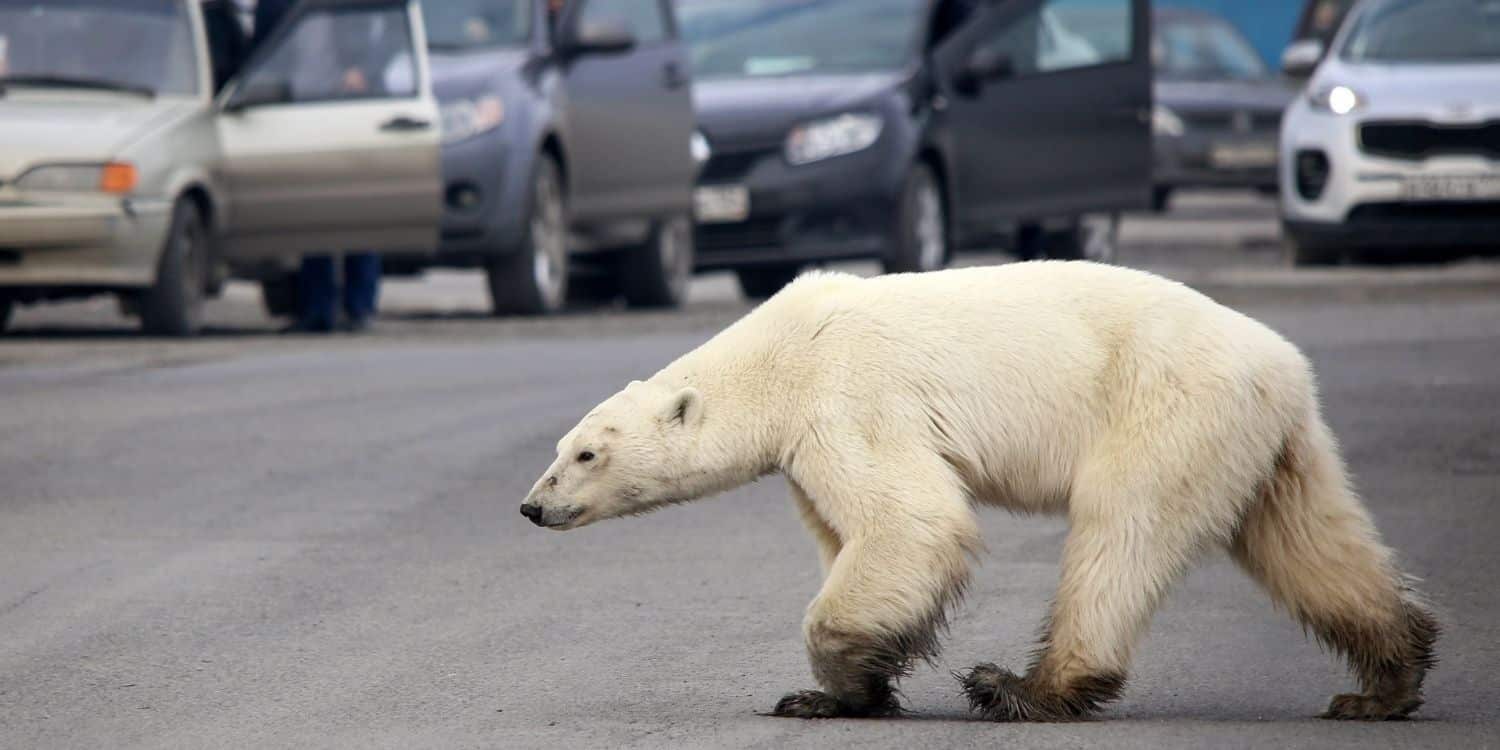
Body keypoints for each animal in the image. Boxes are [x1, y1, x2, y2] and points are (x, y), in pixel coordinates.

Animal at [520, 261, 1438, 722]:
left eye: (587, 454)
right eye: (560, 448)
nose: (531, 506)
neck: (776, 353)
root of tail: (1283, 366)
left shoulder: (848, 396)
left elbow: (910, 520)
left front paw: (838, 680)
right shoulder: (807, 444)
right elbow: (847, 533)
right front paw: (835, 693)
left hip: (1165, 405)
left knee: (1120, 530)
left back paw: (1024, 687)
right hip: (1266, 441)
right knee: (1308, 540)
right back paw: (1382, 685)